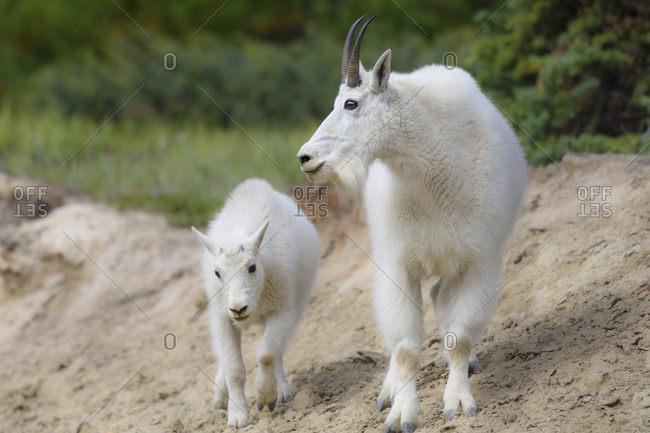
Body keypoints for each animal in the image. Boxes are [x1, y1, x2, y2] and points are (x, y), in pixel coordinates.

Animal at [192, 179, 320, 428]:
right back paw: (220, 395)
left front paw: (266, 397)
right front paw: (237, 415)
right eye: (217, 273)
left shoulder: (283, 310)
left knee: (279, 349)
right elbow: (233, 368)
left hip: (297, 305)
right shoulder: (222, 317)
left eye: (251, 267)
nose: (239, 308)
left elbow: (267, 353)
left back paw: (282, 390)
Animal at [297, 15, 526, 432]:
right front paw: (402, 413)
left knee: (440, 300)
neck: (431, 176)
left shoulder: (478, 263)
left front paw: (458, 402)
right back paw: (388, 390)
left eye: (351, 103)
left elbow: (460, 338)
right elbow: (404, 348)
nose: (305, 158)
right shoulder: (398, 265)